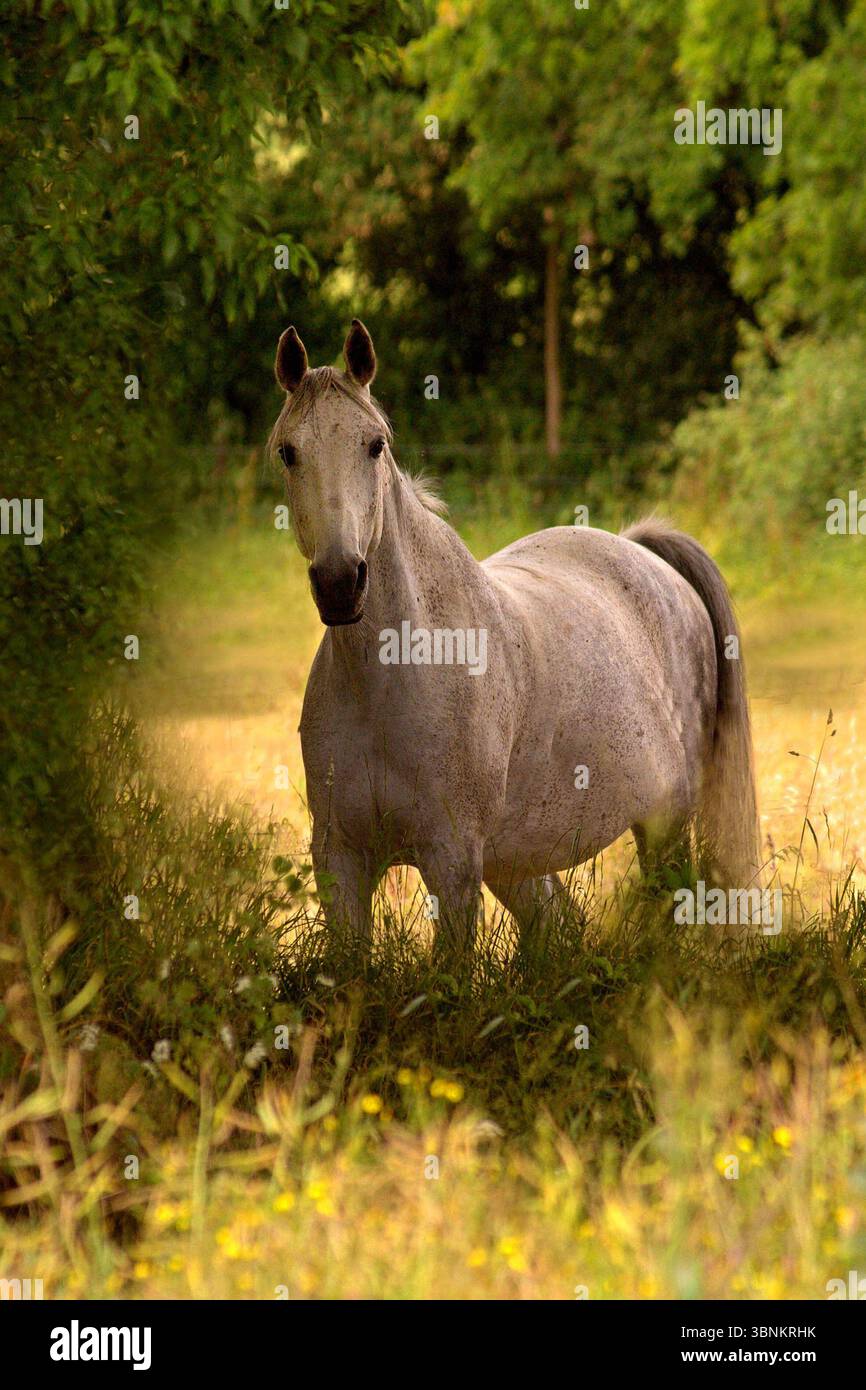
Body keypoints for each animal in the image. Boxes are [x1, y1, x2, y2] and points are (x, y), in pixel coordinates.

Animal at [268, 318, 761, 951]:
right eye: (289, 451)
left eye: (374, 444)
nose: (339, 581)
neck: (390, 680)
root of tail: (647, 556)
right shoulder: (341, 862)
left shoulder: (453, 865)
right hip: (517, 861)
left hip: (664, 830)